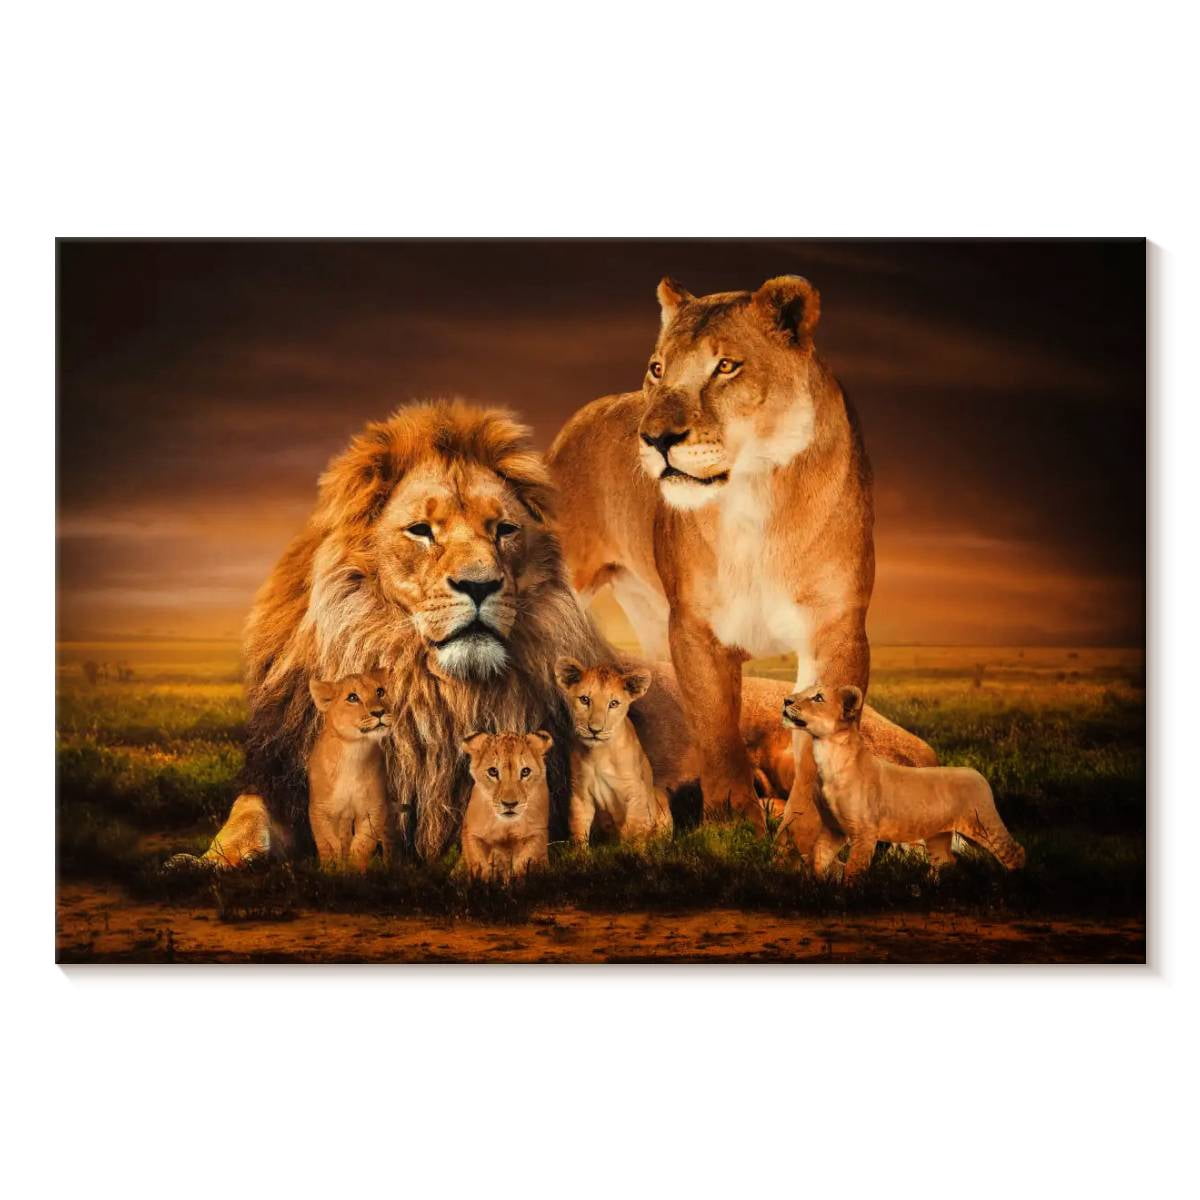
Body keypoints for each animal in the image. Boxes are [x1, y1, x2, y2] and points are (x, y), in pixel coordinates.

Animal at [459, 730, 553, 880]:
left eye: (525, 771)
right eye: (493, 771)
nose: (510, 804)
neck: (505, 825)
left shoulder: (538, 832)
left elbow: (526, 860)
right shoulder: (471, 832)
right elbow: (478, 862)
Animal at [547, 275, 886, 847]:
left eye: (725, 366)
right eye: (657, 368)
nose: (654, 438)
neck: (755, 494)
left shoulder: (836, 627)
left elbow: (819, 738)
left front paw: (805, 834)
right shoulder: (694, 627)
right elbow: (716, 729)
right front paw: (731, 824)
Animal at [782, 686, 1025, 879]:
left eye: (818, 697)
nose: (786, 700)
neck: (826, 756)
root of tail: (976, 773)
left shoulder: (864, 831)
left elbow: (854, 867)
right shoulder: (833, 826)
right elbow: (819, 858)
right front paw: (817, 886)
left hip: (983, 825)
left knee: (1014, 851)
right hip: (937, 834)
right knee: (945, 860)